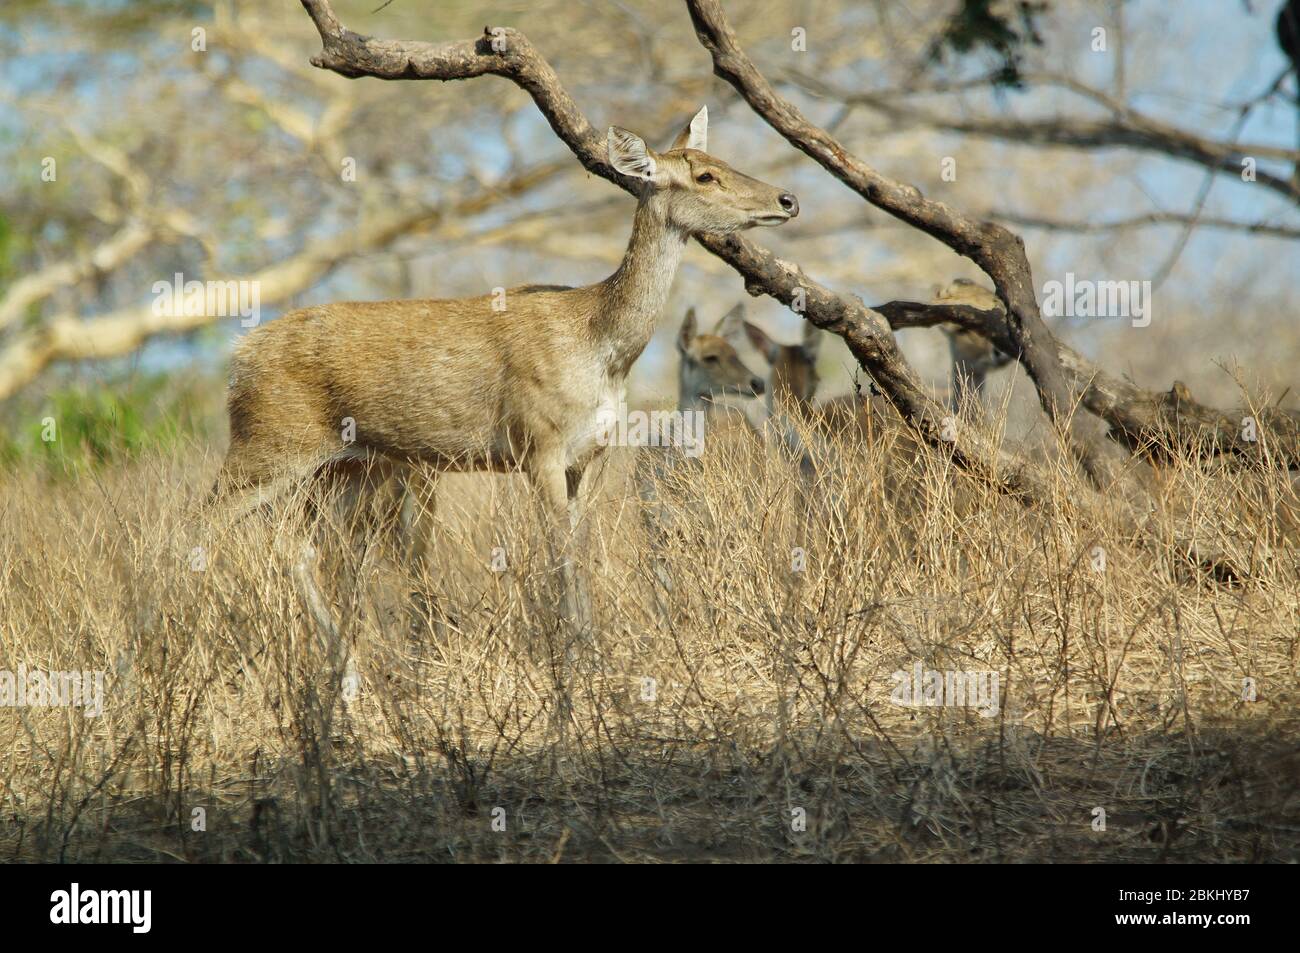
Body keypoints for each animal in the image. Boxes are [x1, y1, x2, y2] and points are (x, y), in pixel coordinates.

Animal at [208, 106, 798, 642]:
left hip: (346, 468)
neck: (602, 348)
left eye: (720, 161)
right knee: (204, 524)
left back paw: (342, 660)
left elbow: (579, 550)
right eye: (704, 175)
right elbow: (559, 555)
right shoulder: (539, 444)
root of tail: (238, 356)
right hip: (267, 445)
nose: (787, 199)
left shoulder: (590, 456)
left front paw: (593, 650)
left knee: (300, 548)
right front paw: (578, 658)